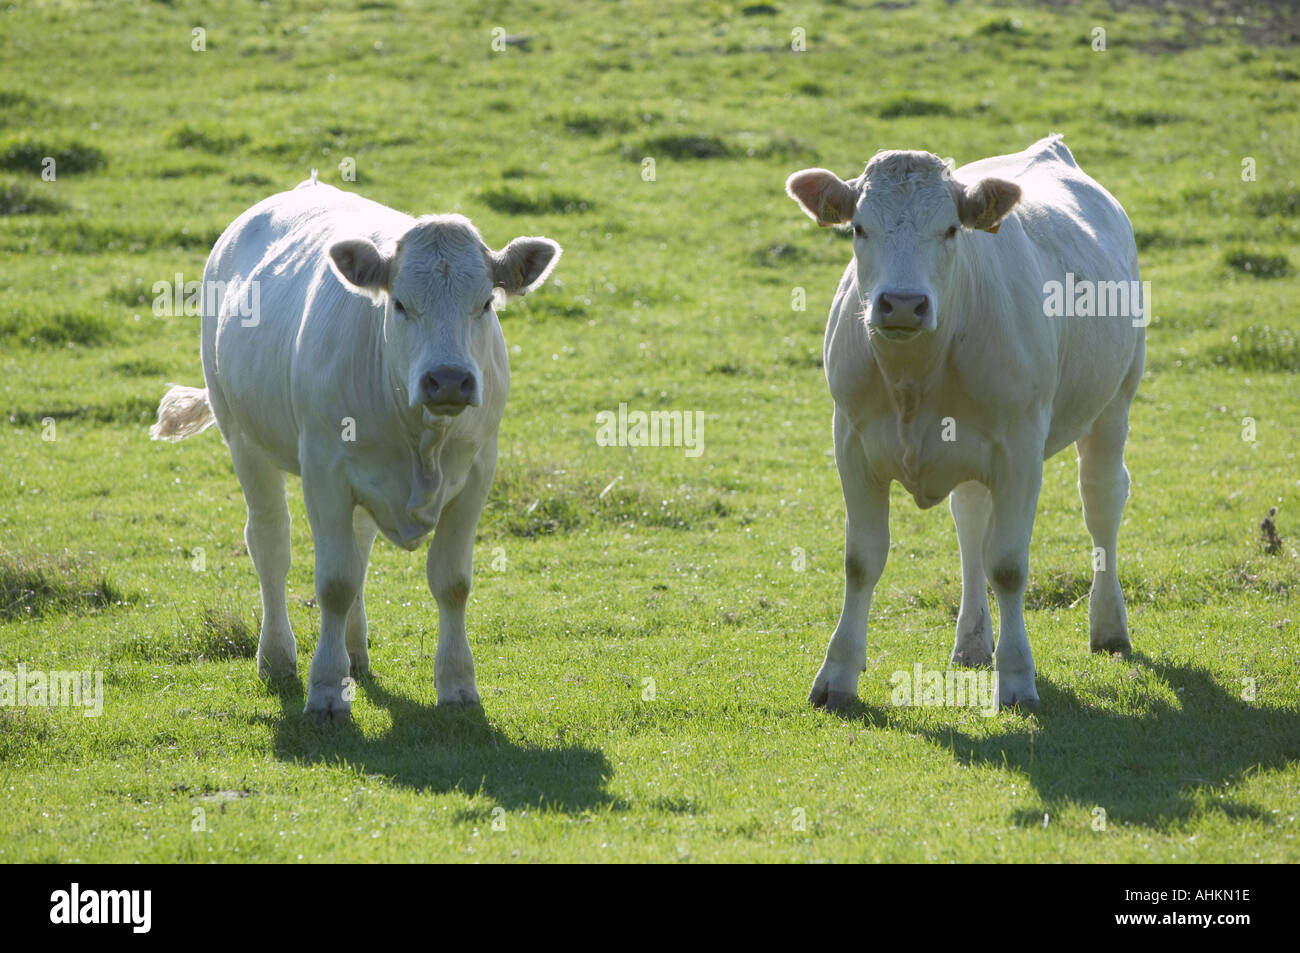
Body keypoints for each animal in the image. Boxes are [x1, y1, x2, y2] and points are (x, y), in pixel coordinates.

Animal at [150, 176, 561, 719]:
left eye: (486, 304)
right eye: (400, 304)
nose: (449, 379)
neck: (421, 438)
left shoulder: (478, 471)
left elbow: (451, 582)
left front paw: (457, 685)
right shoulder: (323, 469)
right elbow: (335, 583)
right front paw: (326, 688)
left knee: (359, 544)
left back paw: (356, 651)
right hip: (241, 434)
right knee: (270, 542)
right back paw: (277, 657)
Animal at [785, 134, 1144, 710]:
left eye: (951, 229)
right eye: (859, 227)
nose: (902, 304)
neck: (914, 378)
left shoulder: (1021, 450)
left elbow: (1009, 566)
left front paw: (1016, 678)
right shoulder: (851, 443)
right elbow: (862, 559)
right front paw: (837, 674)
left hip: (1116, 399)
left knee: (1102, 501)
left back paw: (1109, 627)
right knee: (971, 518)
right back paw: (973, 641)